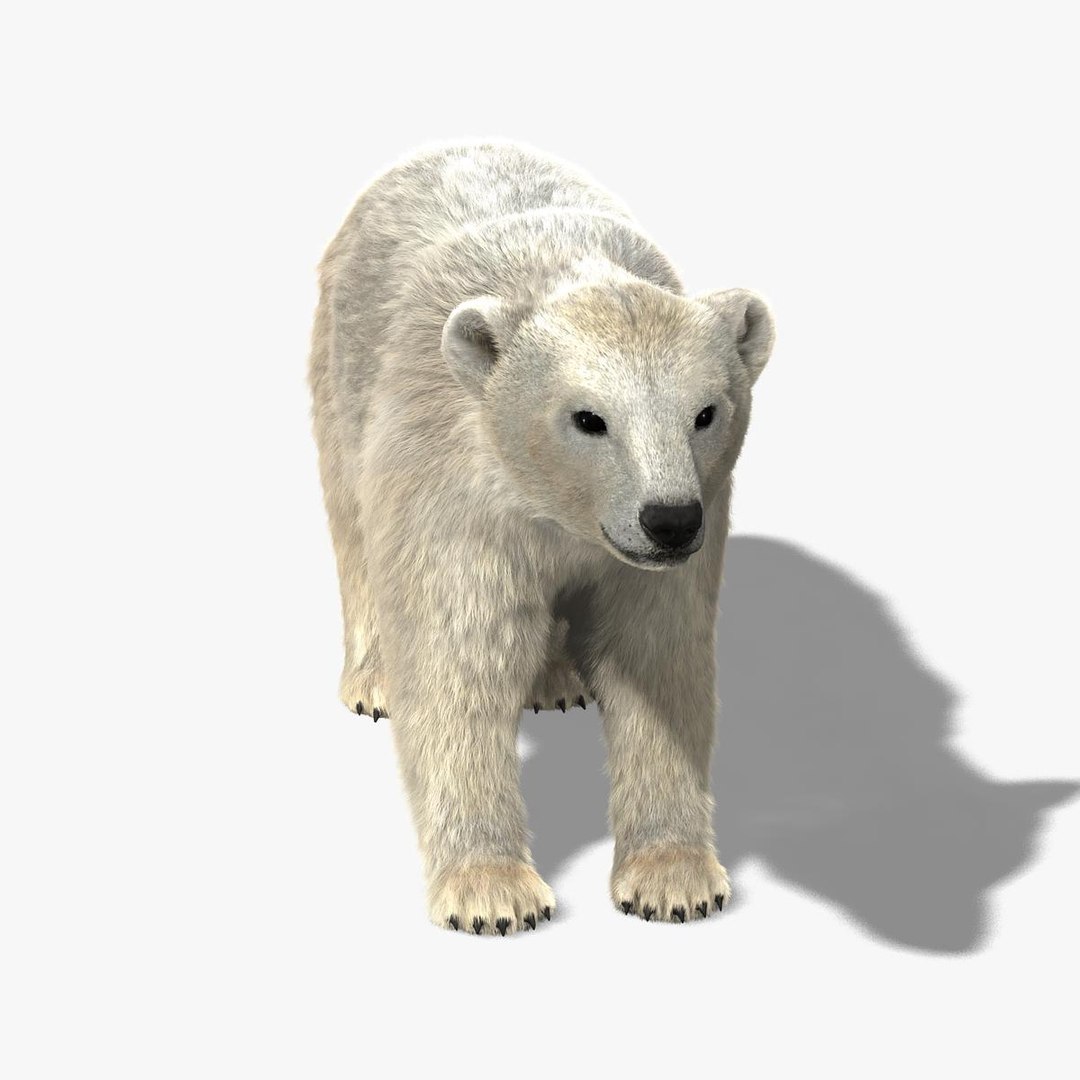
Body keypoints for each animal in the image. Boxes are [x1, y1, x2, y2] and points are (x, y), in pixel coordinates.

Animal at [307, 139, 775, 934]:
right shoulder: (453, 487)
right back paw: (374, 681)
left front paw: (673, 879)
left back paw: (556, 682)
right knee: (352, 524)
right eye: (588, 417)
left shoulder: (679, 537)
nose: (669, 519)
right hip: (340, 365)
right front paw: (493, 893)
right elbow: (458, 661)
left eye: (706, 412)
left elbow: (656, 657)